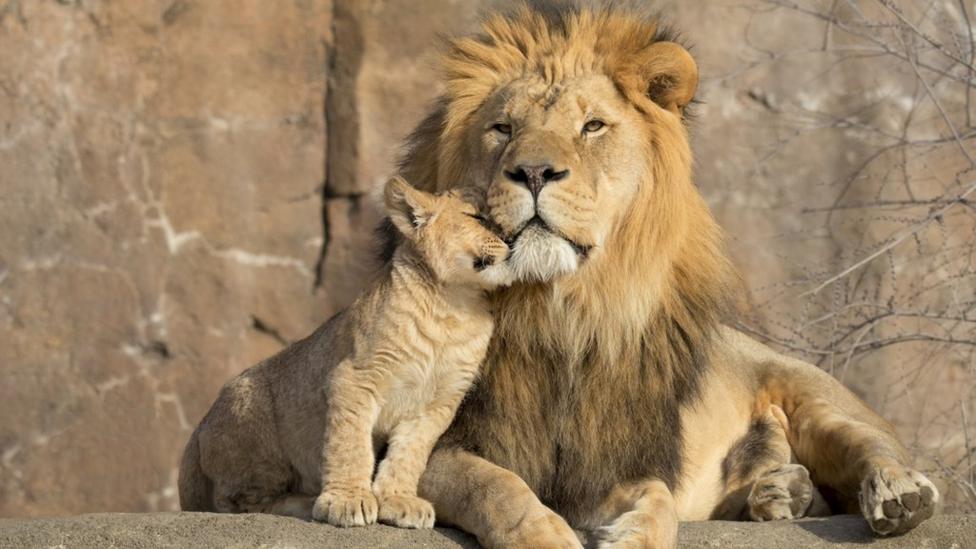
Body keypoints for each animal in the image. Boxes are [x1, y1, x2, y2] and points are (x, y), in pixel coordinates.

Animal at [178, 178, 512, 529]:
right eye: (478, 217)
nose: (512, 239)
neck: (454, 306)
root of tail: (197, 431)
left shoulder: (438, 404)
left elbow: (409, 454)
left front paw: (399, 500)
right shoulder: (355, 377)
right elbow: (351, 445)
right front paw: (347, 500)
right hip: (251, 415)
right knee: (237, 503)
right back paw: (306, 502)